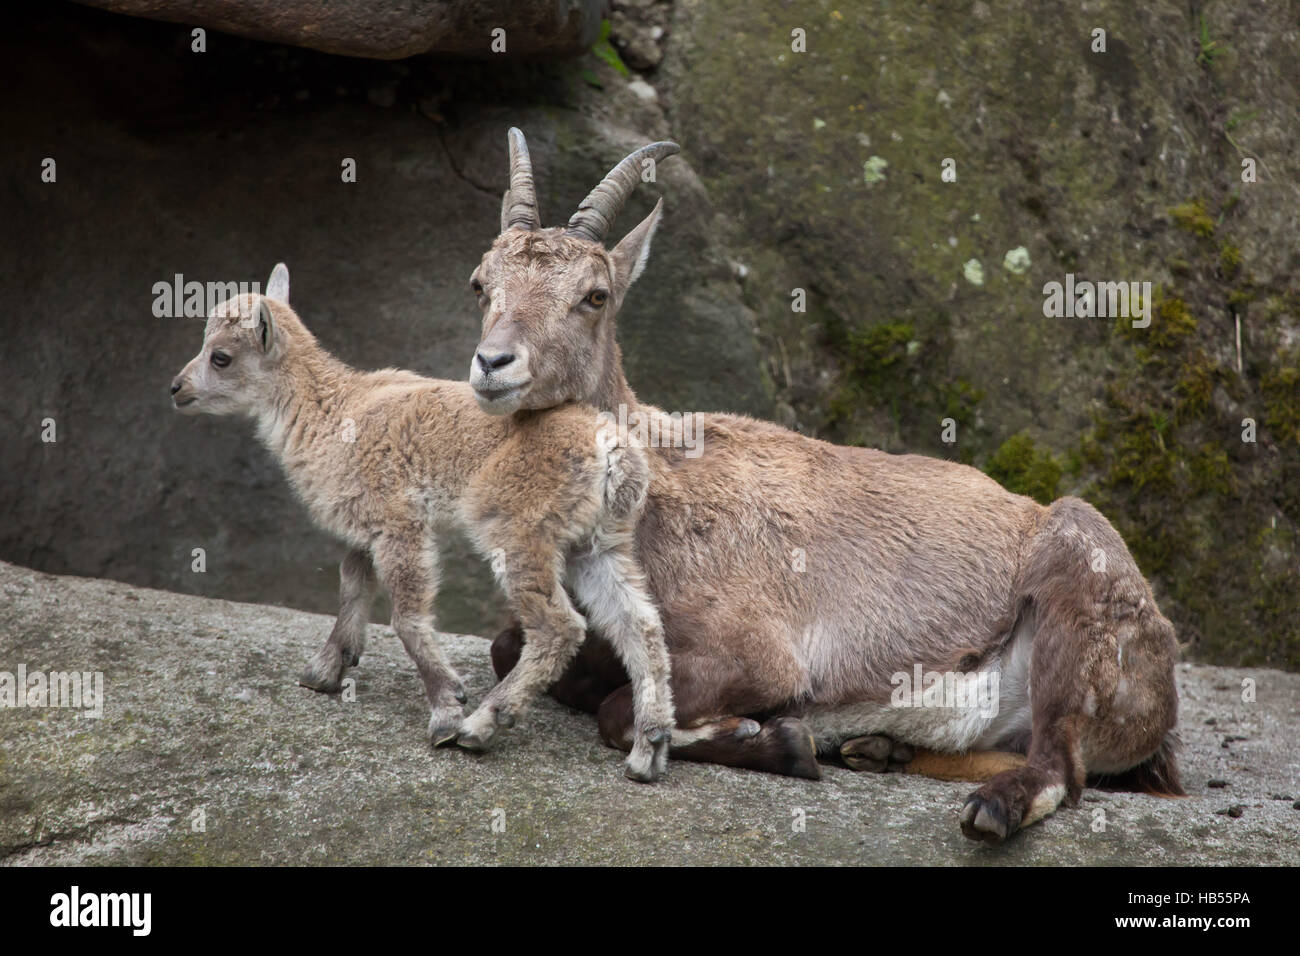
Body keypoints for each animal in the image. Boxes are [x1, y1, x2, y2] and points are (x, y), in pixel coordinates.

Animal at [169, 264, 675, 781]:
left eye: (221, 357)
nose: (177, 388)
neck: (331, 411)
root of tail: (613, 452)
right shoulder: (365, 526)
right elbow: (351, 585)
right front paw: (326, 670)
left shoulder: (400, 523)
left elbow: (406, 616)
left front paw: (446, 710)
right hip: (596, 545)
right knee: (639, 624)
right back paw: (648, 749)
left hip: (519, 533)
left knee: (561, 626)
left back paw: (481, 725)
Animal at [468, 129, 1183, 842]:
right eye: (482, 283)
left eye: (595, 295)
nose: (493, 363)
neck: (658, 489)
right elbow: (508, 648)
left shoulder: (753, 653)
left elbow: (621, 712)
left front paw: (776, 738)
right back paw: (879, 749)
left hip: (1076, 577)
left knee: (1062, 767)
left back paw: (986, 805)